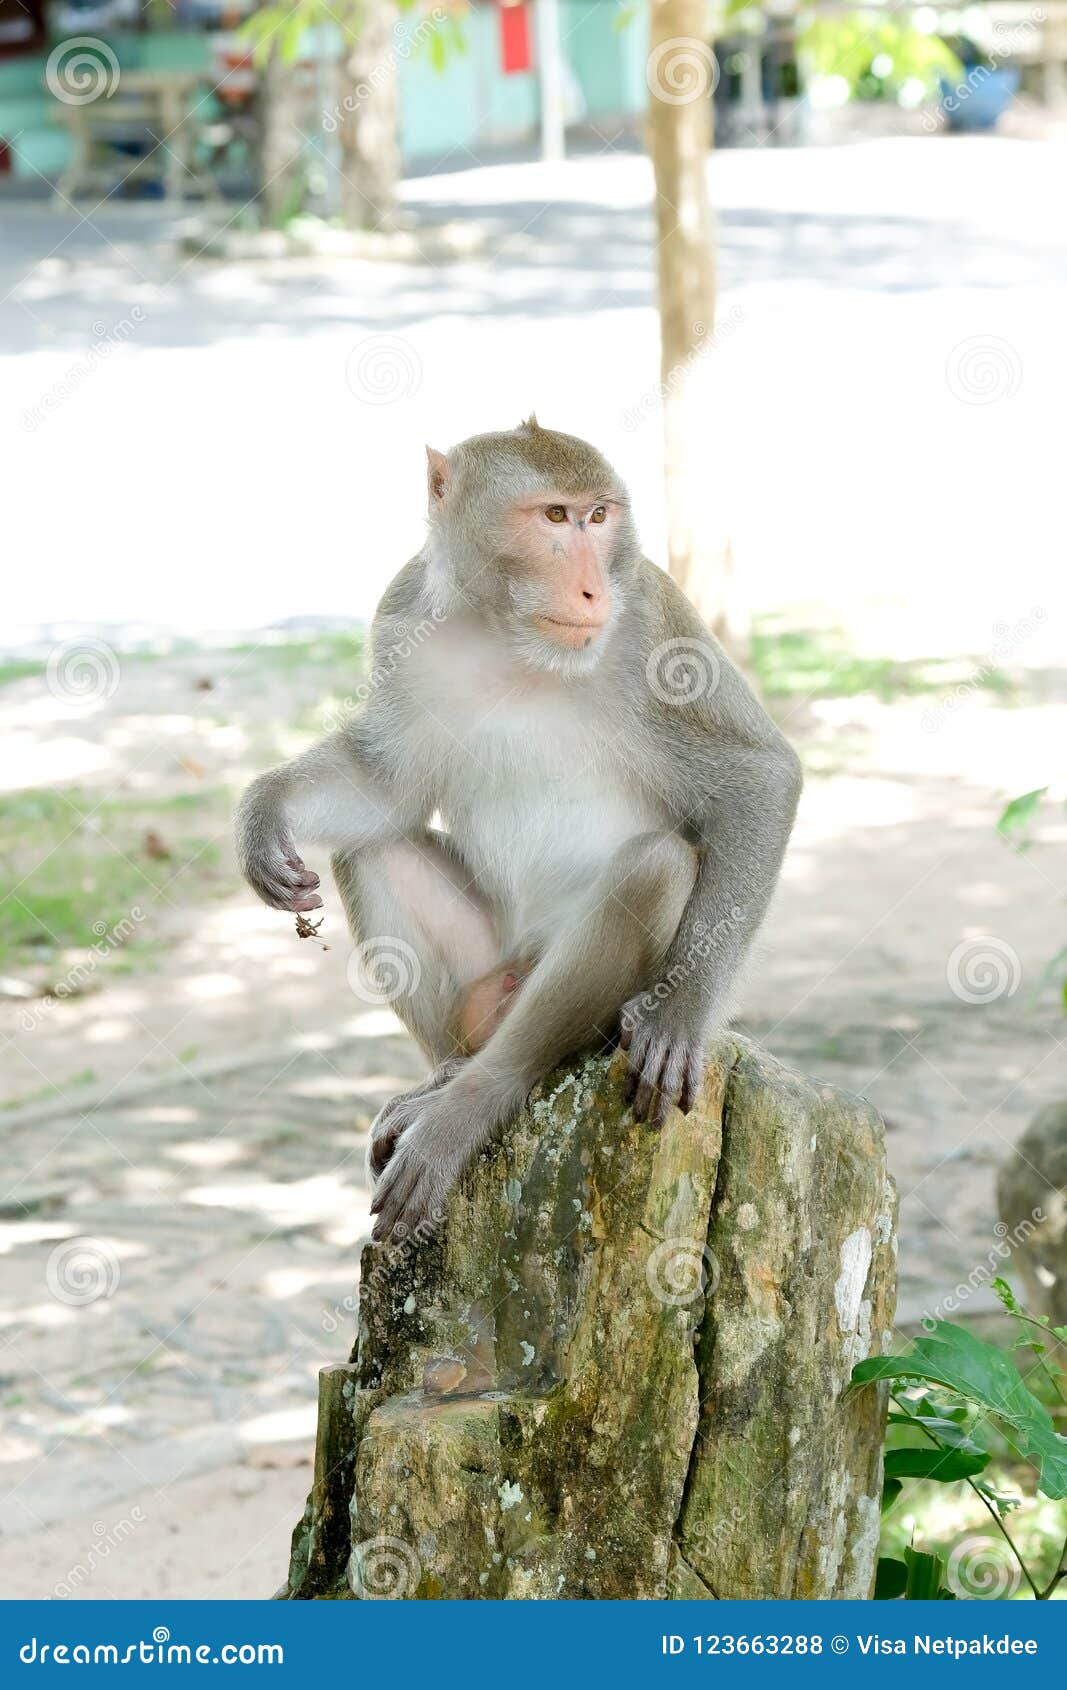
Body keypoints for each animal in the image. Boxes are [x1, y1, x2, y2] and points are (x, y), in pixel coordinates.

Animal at [235, 419, 801, 1242]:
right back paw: (442, 1075)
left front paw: (682, 1015)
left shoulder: (654, 621)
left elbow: (758, 778)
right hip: (486, 975)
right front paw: (265, 809)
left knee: (654, 869)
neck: (506, 631)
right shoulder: (401, 615)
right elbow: (385, 788)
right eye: (554, 517)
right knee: (371, 850)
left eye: (598, 516)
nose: (593, 587)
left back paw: (473, 1100)